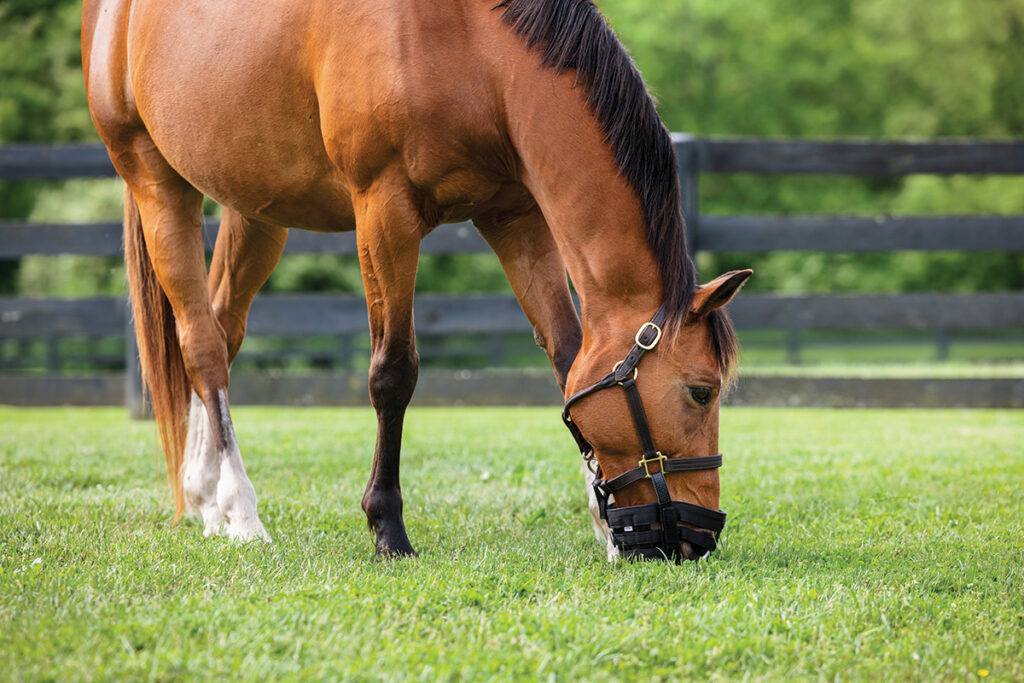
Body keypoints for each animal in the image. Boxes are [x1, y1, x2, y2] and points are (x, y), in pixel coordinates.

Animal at [82, 0, 751, 561]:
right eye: (702, 392)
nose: (700, 535)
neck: (470, 45)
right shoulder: (384, 210)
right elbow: (393, 373)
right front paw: (387, 528)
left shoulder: (515, 218)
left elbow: (568, 363)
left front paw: (604, 527)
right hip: (154, 179)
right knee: (200, 344)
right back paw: (242, 512)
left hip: (257, 207)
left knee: (222, 331)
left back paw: (207, 497)